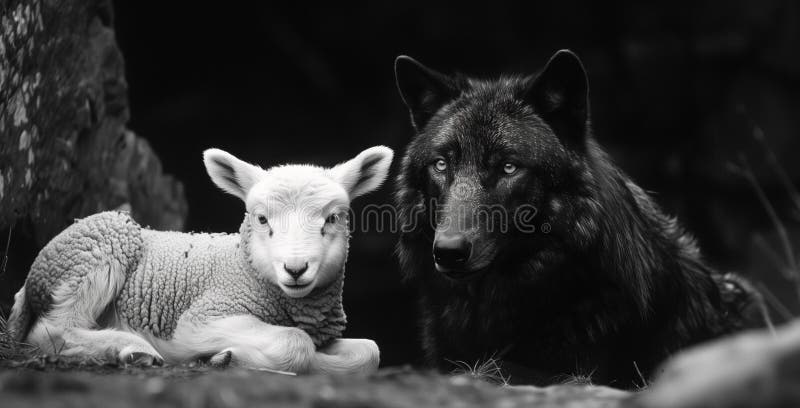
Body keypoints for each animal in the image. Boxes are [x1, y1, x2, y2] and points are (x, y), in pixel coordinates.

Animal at [7, 145, 394, 375]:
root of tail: (27, 285)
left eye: (333, 218)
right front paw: (222, 358)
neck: (246, 268)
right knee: (50, 331)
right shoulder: (202, 317)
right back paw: (132, 348)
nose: (296, 270)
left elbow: (370, 352)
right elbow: (295, 343)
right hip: (97, 248)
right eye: (261, 218)